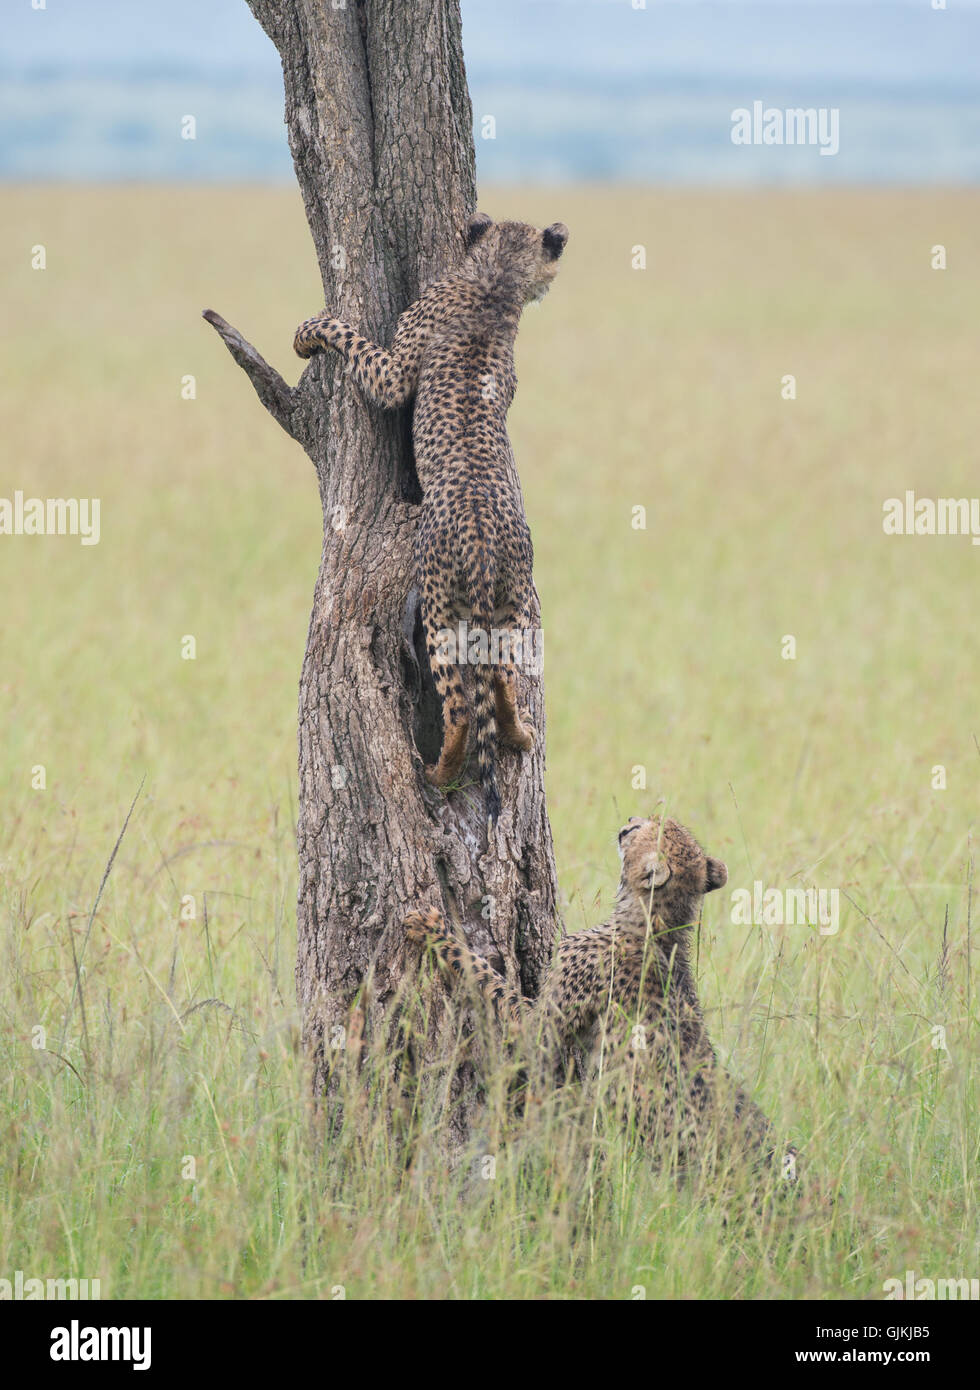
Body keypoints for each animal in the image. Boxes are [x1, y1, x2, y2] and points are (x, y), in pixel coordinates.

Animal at [293, 212, 569, 825]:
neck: (494, 284)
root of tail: (484, 538)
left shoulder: (395, 373)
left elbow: (353, 340)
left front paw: (310, 330)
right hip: (514, 604)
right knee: (505, 680)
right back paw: (519, 735)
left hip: (440, 608)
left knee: (462, 707)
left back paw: (440, 772)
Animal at [404, 813, 796, 1182]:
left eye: (645, 829)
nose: (630, 821)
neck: (658, 924)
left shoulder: (540, 1026)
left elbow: (486, 976)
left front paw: (433, 930)